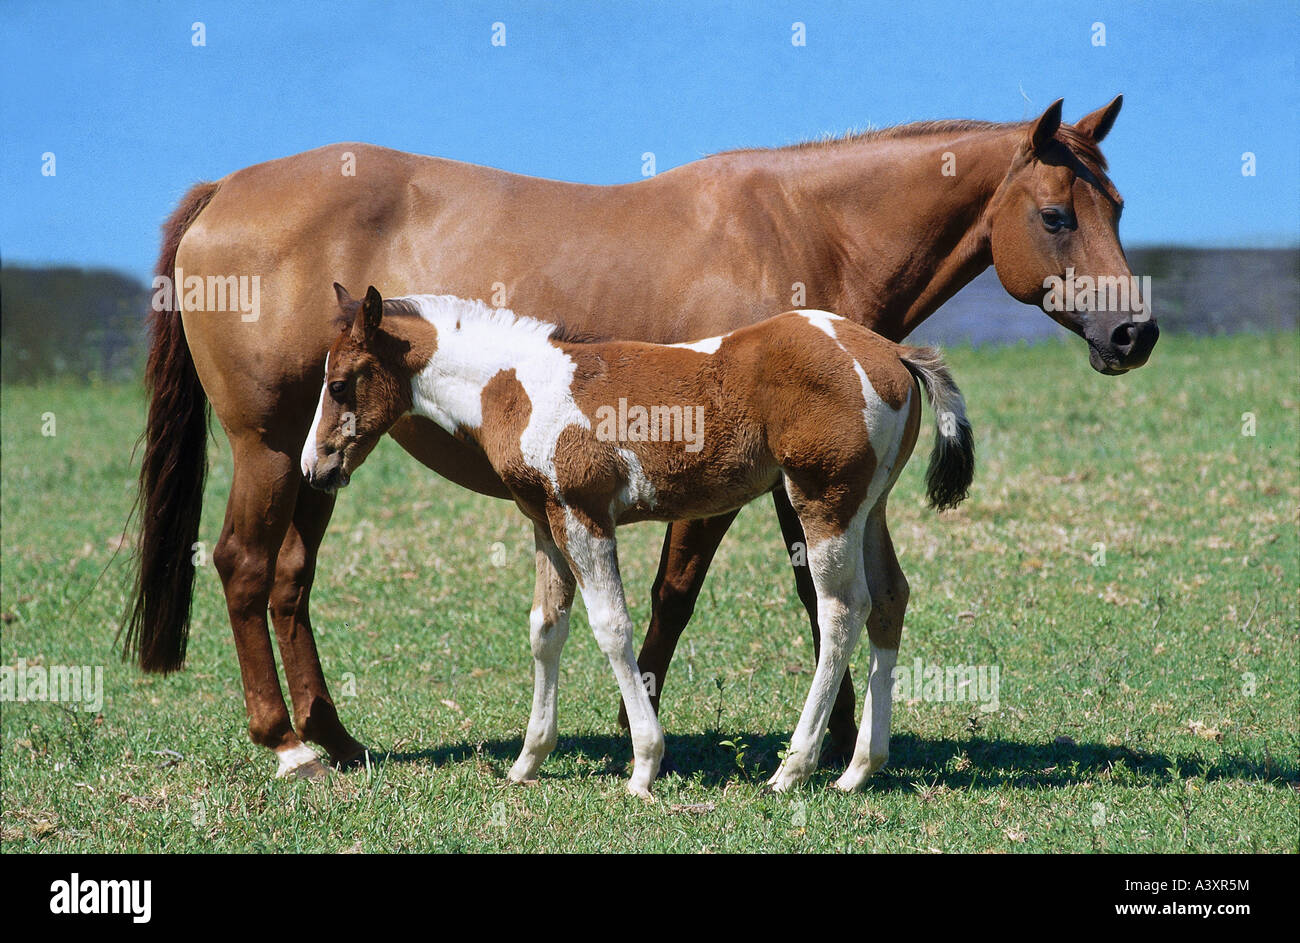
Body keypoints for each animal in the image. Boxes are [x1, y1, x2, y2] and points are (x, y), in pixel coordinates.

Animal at [301, 285, 974, 796]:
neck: (518, 385)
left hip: (824, 503)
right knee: (890, 599)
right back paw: (860, 769)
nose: (314, 467)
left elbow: (611, 627)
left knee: (842, 610)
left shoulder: (584, 515)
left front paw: (644, 766)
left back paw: (794, 769)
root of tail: (892, 352)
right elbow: (546, 628)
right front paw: (527, 761)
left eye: (340, 384)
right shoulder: (546, 521)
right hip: (870, 507)